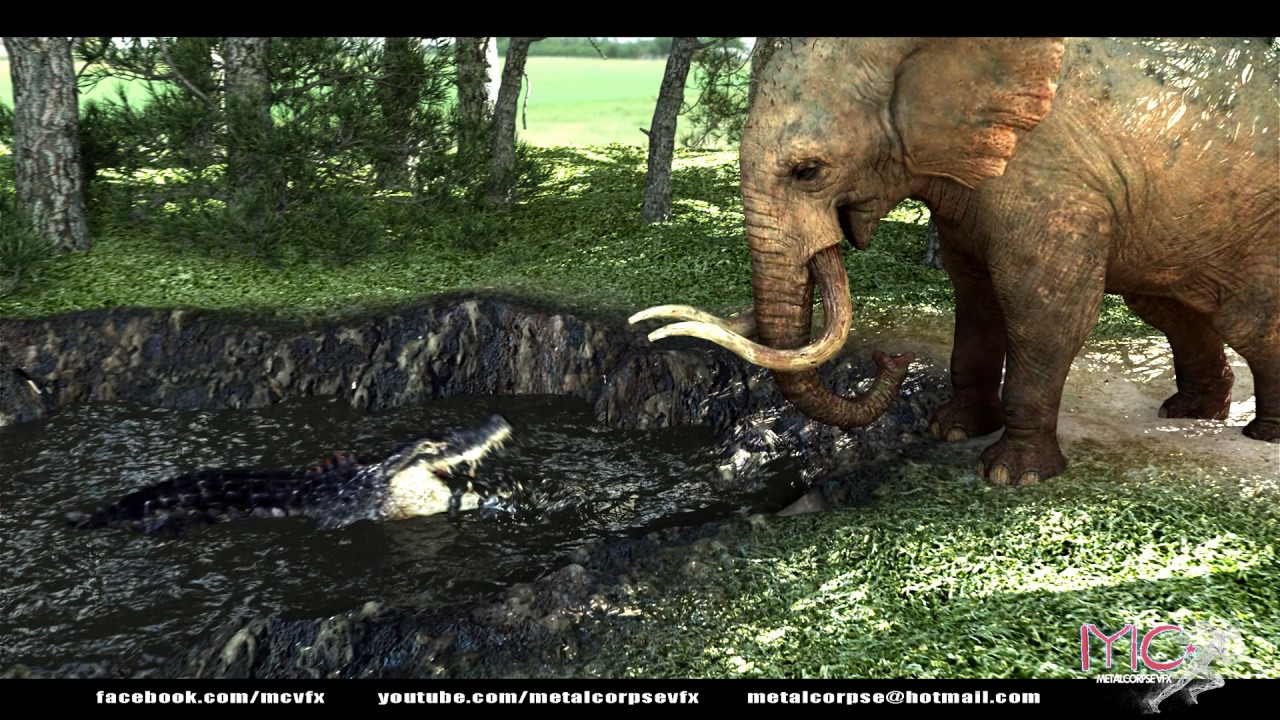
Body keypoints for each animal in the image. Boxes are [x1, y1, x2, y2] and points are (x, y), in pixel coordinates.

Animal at [632, 38, 1279, 485]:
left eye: (808, 171)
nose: (890, 358)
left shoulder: (1053, 181)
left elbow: (1046, 312)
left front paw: (1010, 475)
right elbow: (974, 297)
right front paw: (950, 429)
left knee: (1249, 319)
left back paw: (1264, 433)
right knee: (1168, 305)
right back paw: (1192, 412)